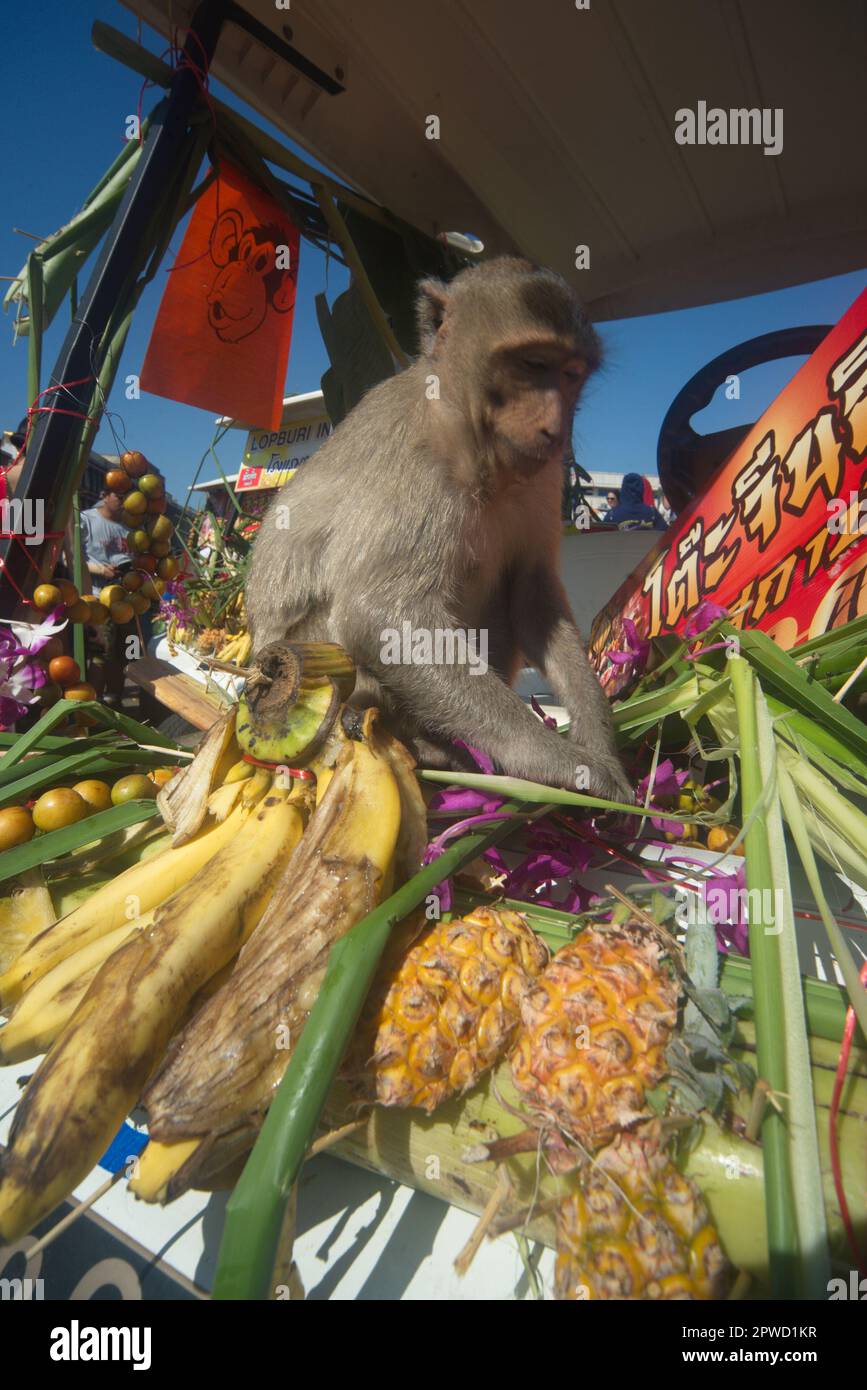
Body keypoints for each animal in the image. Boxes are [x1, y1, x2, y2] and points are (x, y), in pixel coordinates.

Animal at [246, 256, 632, 804]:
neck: (474, 442)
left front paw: (597, 739)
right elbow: (375, 614)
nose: (555, 426)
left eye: (571, 373)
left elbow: (532, 592)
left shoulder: (546, 471)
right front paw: (556, 761)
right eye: (533, 365)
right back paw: (416, 742)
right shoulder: (416, 463)